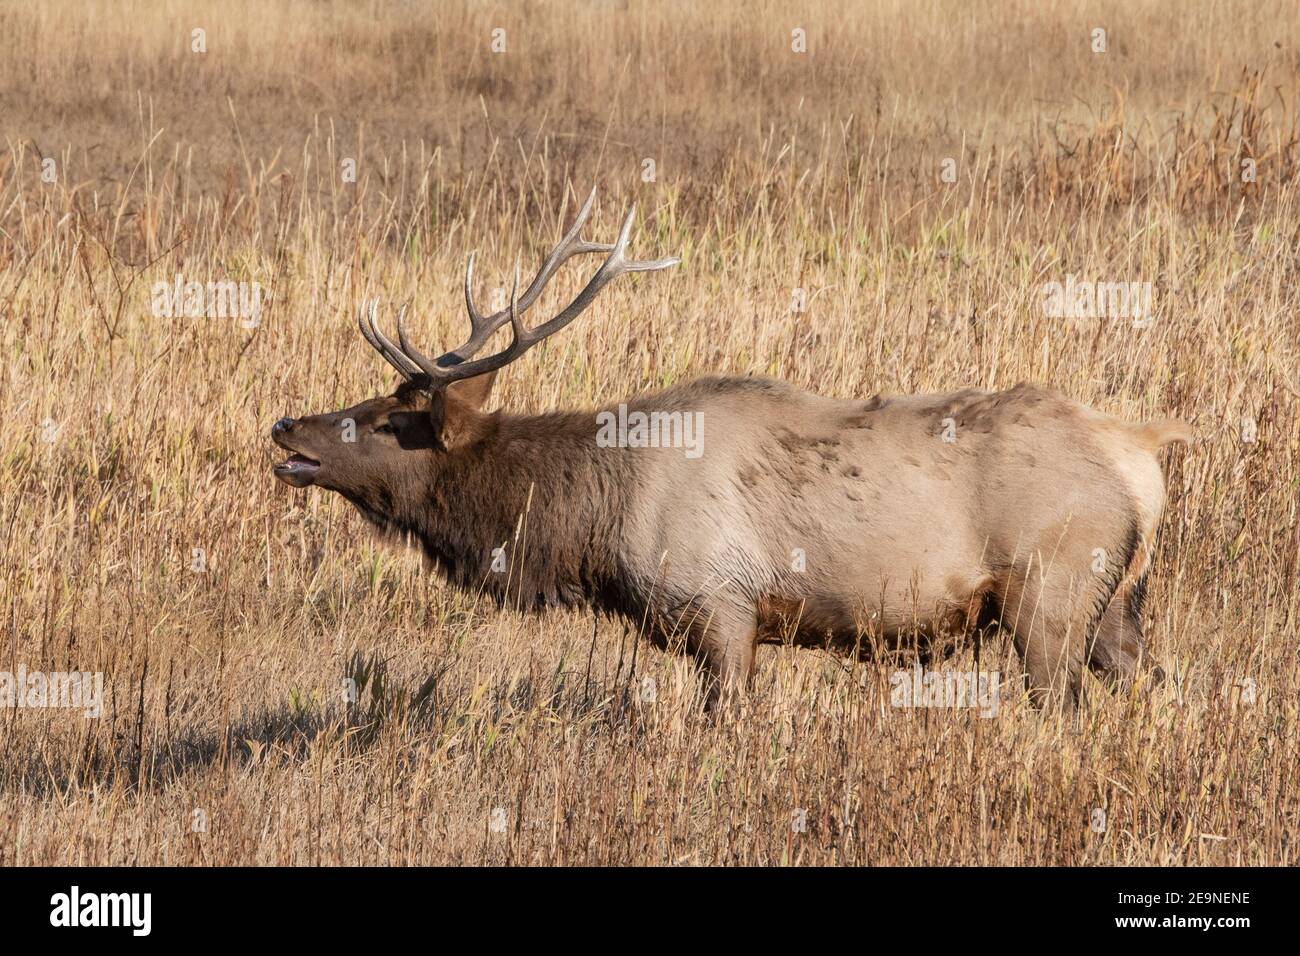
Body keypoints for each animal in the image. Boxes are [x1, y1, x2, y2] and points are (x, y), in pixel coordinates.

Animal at [271, 188, 1188, 710]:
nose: (284, 428)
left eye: (386, 416)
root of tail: (1143, 453)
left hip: (1051, 590)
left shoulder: (720, 605)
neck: (594, 521)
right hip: (1119, 604)